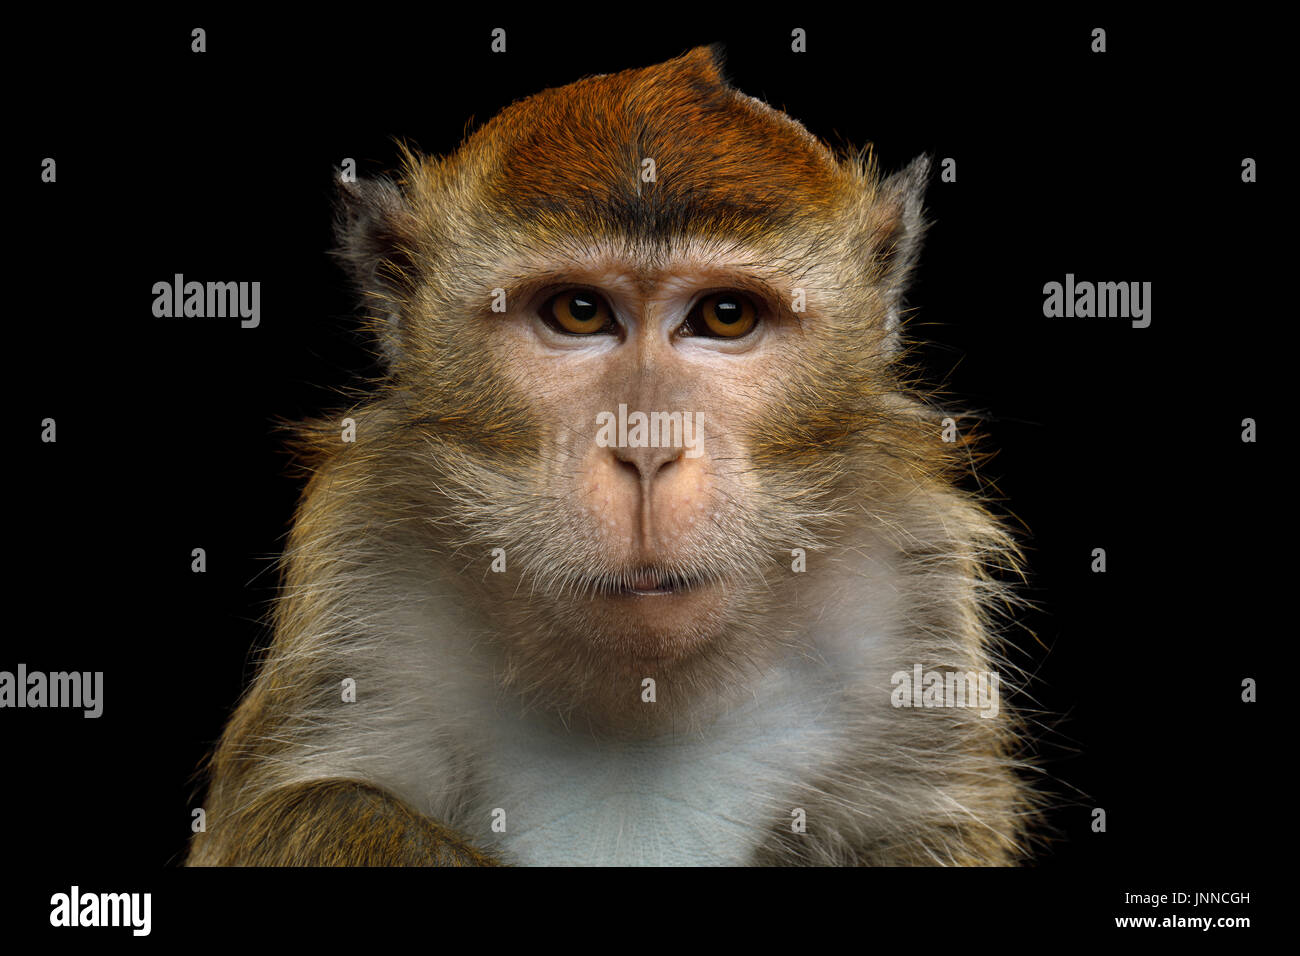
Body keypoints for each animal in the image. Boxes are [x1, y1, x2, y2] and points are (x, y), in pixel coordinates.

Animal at [187, 44, 1039, 867]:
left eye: (725, 316)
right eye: (578, 311)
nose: (645, 453)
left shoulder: (900, 591)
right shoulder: (370, 566)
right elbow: (310, 805)